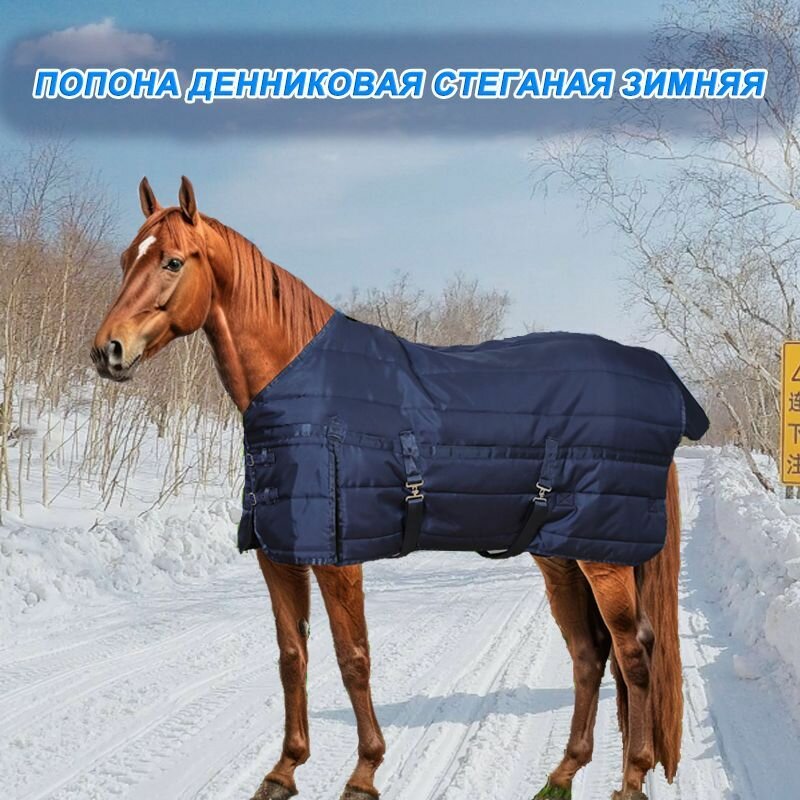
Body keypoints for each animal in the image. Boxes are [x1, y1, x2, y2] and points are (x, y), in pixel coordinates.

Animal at [92, 177, 684, 800]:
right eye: (127, 259)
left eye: (173, 261)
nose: (108, 350)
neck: (308, 397)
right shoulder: (279, 555)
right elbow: (291, 656)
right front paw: (284, 769)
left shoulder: (337, 557)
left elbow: (353, 657)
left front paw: (364, 771)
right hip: (561, 557)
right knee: (589, 653)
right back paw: (563, 773)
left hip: (605, 560)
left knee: (634, 654)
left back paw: (634, 776)